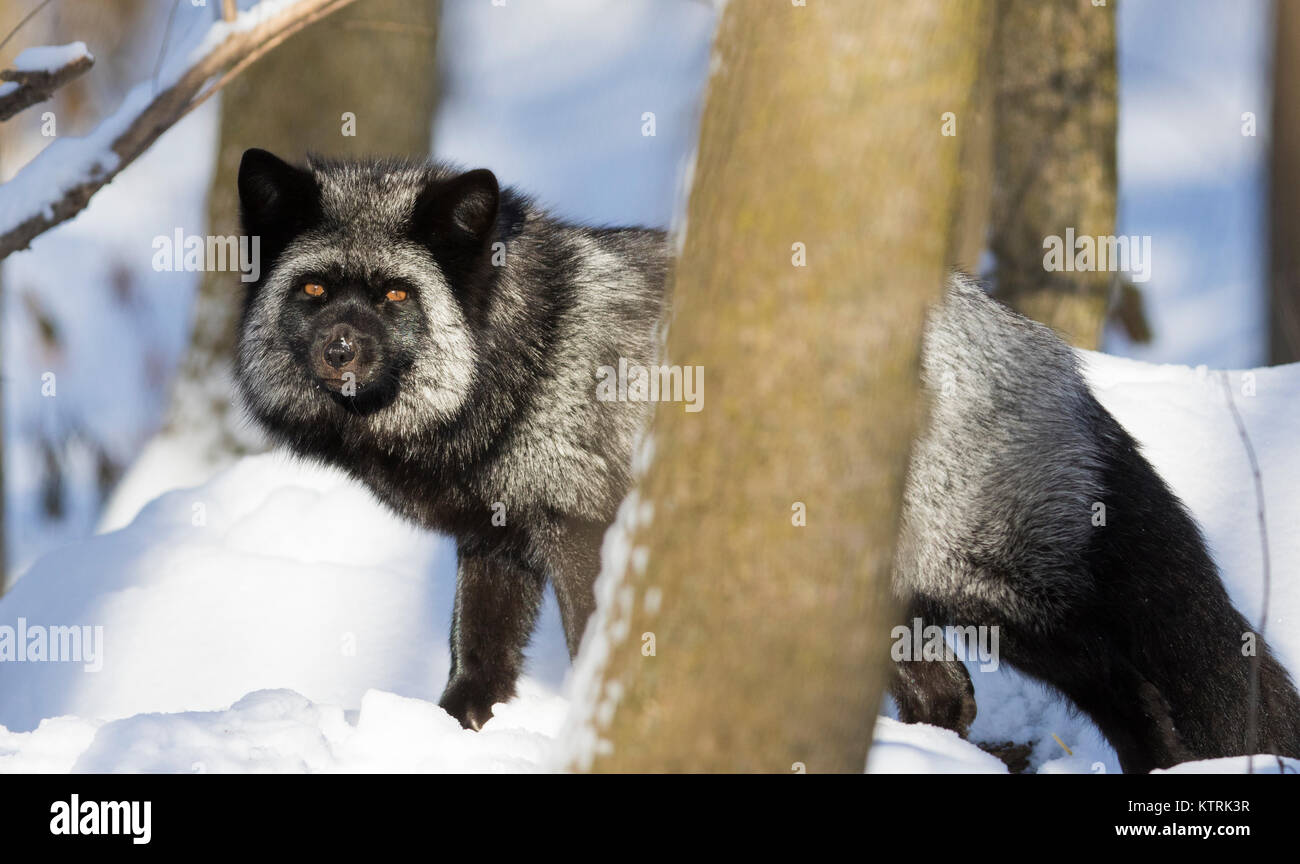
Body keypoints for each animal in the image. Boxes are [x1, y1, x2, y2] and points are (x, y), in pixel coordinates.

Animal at [232, 149, 669, 730]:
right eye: (314, 289)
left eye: (396, 294)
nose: (340, 350)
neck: (537, 356)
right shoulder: (495, 536)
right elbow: (477, 647)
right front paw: (455, 728)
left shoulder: (583, 525)